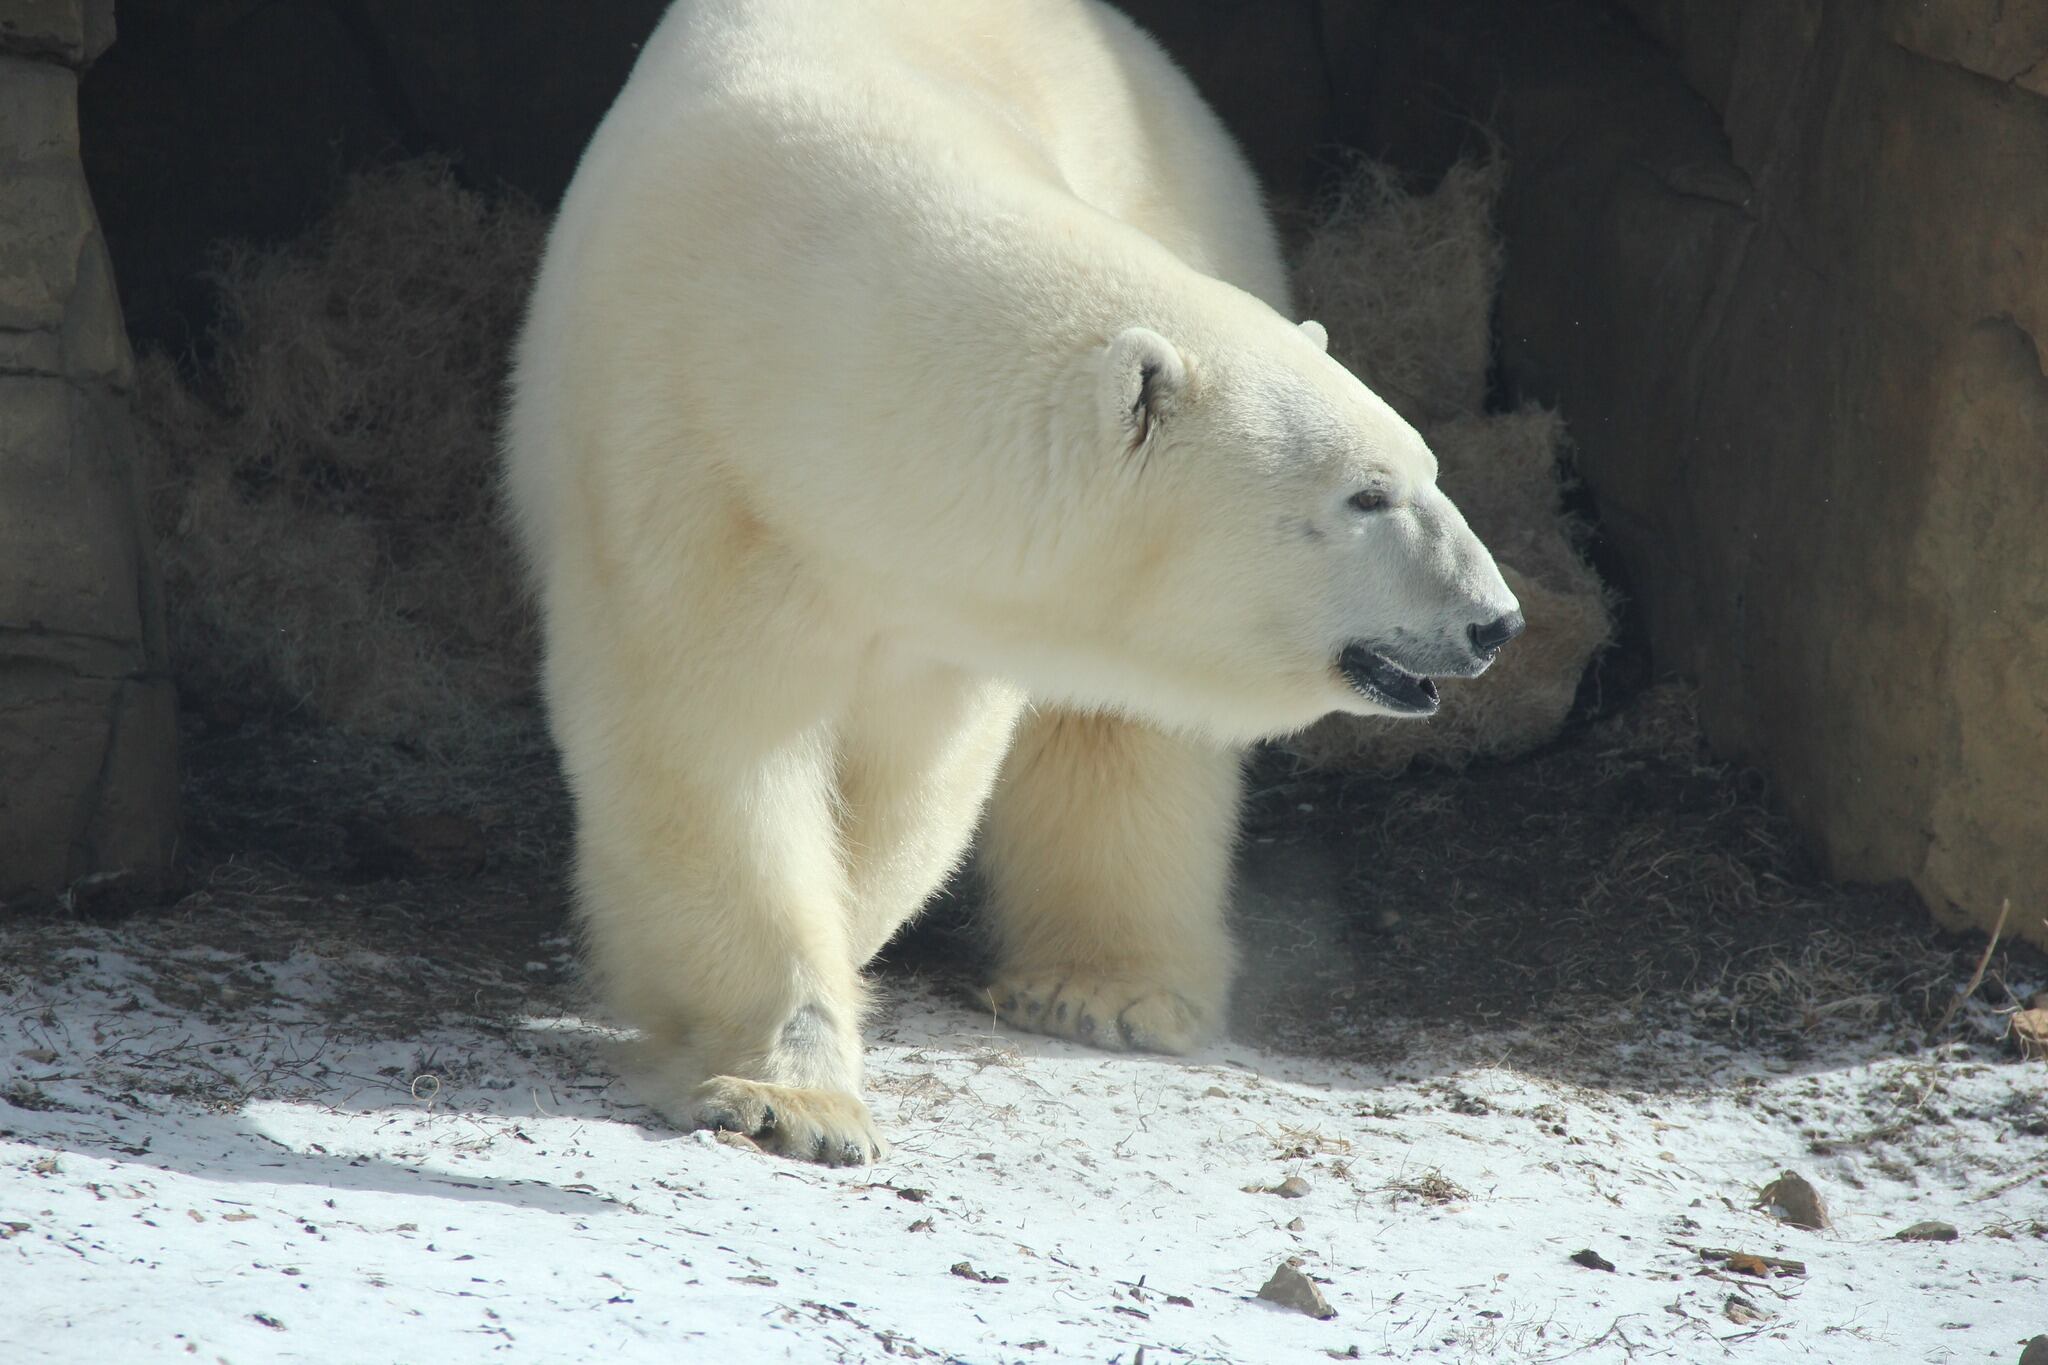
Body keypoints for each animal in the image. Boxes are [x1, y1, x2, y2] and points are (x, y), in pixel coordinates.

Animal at [502, 0, 1522, 1165]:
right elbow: (708, 748)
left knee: (1128, 738)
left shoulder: (950, 607)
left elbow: (911, 787)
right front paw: (787, 1095)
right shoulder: (687, 466)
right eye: (1367, 493)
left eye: (1426, 470)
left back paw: (1109, 991)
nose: (1493, 621)